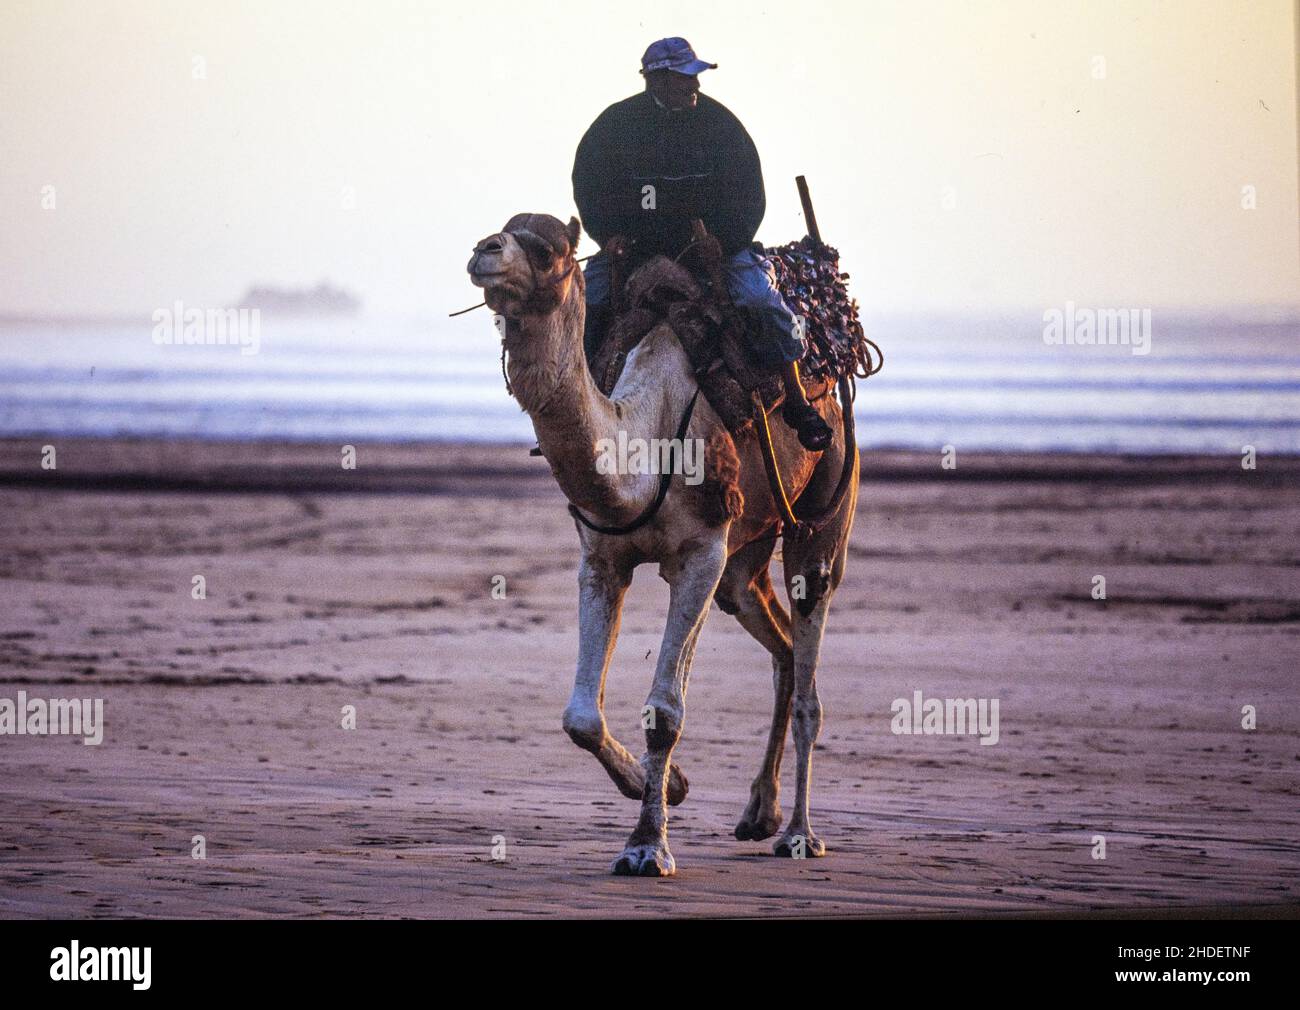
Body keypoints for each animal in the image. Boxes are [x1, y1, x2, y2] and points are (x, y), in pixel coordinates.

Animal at [467, 212, 859, 876]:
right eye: (502, 227)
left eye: (548, 251)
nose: (483, 251)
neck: (646, 440)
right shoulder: (602, 557)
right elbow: (580, 716)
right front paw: (669, 787)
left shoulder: (701, 554)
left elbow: (665, 711)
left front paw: (647, 845)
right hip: (744, 562)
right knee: (778, 641)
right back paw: (759, 812)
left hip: (829, 495)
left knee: (811, 654)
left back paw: (799, 834)